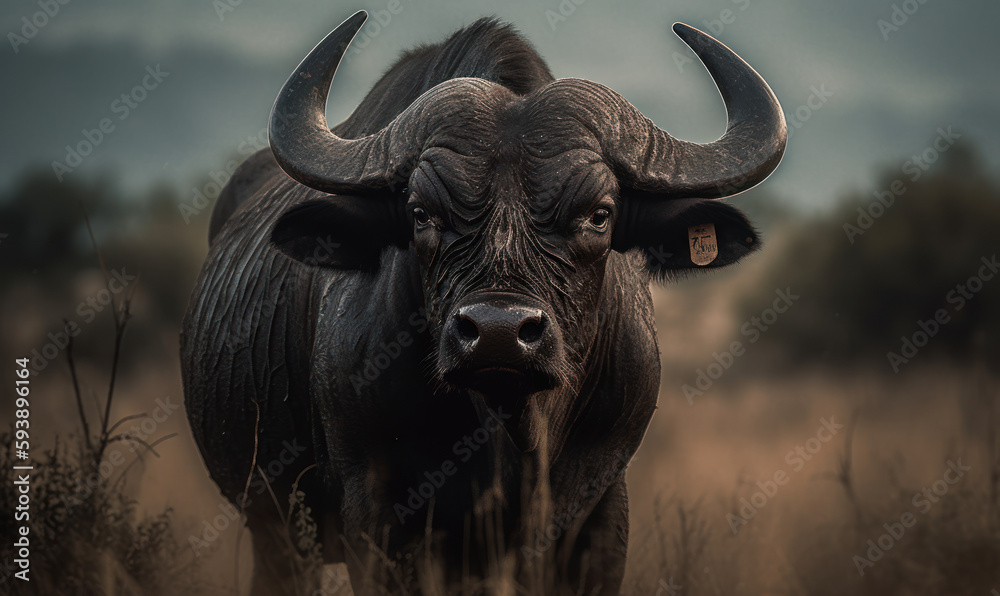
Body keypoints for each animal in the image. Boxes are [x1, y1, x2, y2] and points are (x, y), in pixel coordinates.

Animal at [181, 10, 785, 595]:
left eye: (600, 214)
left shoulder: (602, 507)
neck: (512, 431)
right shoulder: (372, 514)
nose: (499, 332)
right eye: (421, 213)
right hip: (275, 527)